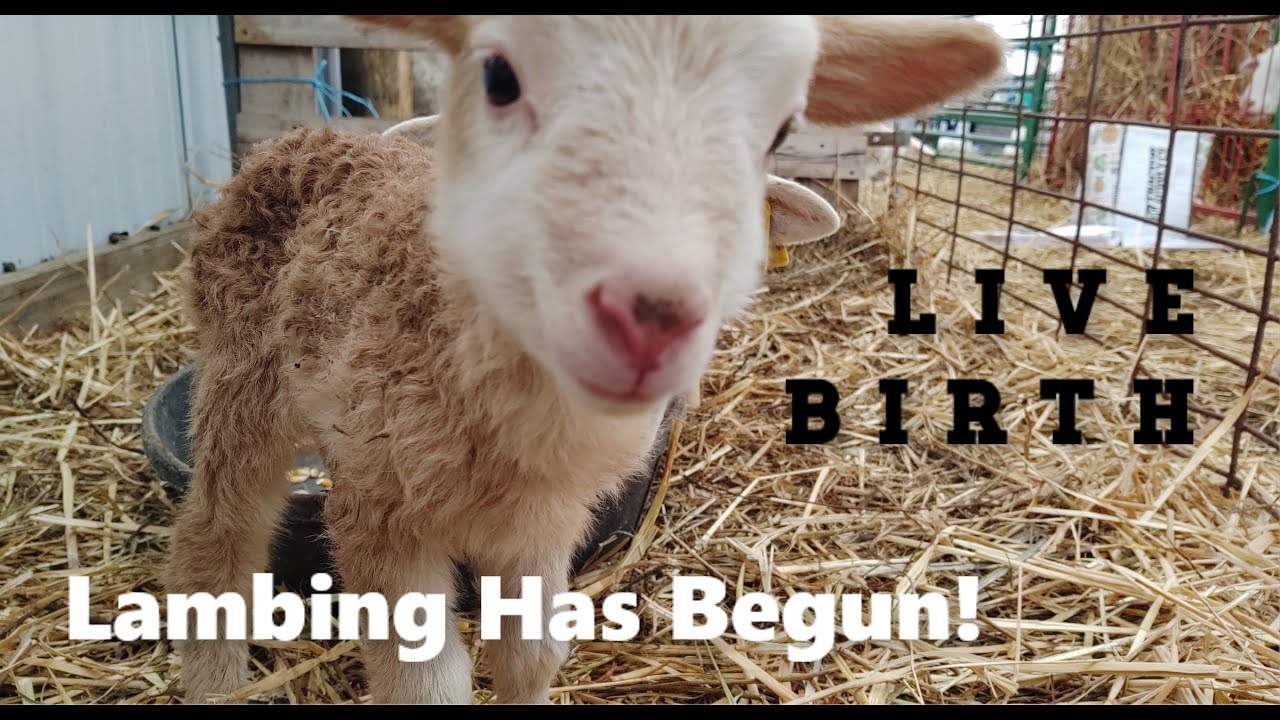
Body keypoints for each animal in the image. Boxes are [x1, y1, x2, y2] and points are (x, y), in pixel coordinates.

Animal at [165, 14, 1006, 705]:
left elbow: (532, 655)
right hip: (242, 372)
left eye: (777, 129)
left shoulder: (545, 525)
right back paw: (213, 681)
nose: (651, 313)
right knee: (215, 533)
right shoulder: (382, 512)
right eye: (500, 80)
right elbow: (426, 684)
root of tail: (296, 138)